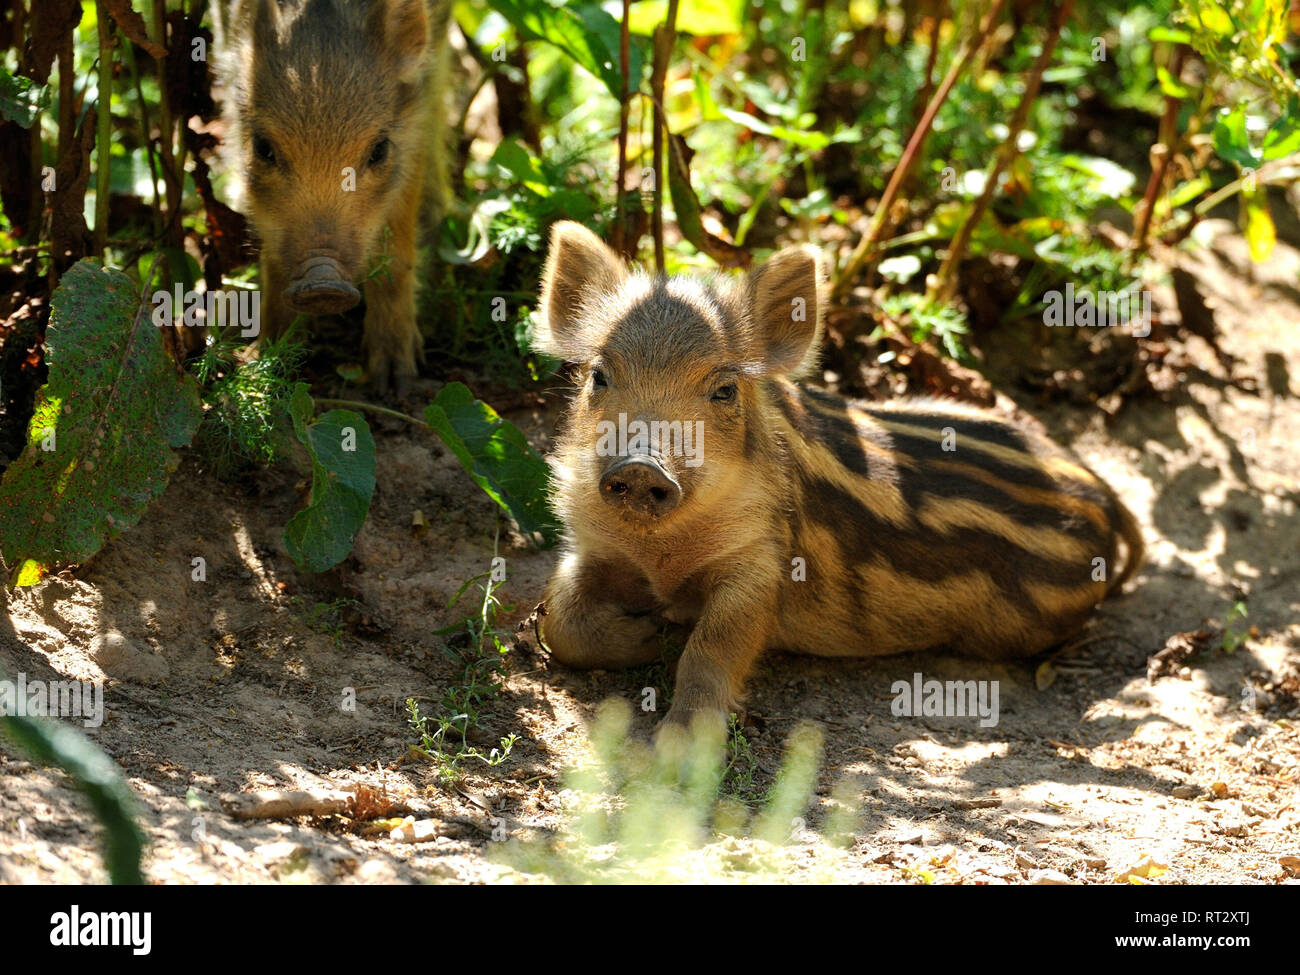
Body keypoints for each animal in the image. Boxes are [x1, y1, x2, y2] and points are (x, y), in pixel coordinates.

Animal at [215, 0, 451, 394]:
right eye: (263, 147)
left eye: (379, 150)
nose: (323, 283)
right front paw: (264, 362)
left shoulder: (415, 117)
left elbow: (396, 251)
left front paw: (395, 383)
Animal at [532, 221, 1145, 735]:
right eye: (599, 376)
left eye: (725, 389)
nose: (640, 465)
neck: (658, 553)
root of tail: (1103, 496)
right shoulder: (590, 544)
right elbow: (559, 618)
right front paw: (648, 633)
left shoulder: (761, 563)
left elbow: (714, 647)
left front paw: (680, 749)